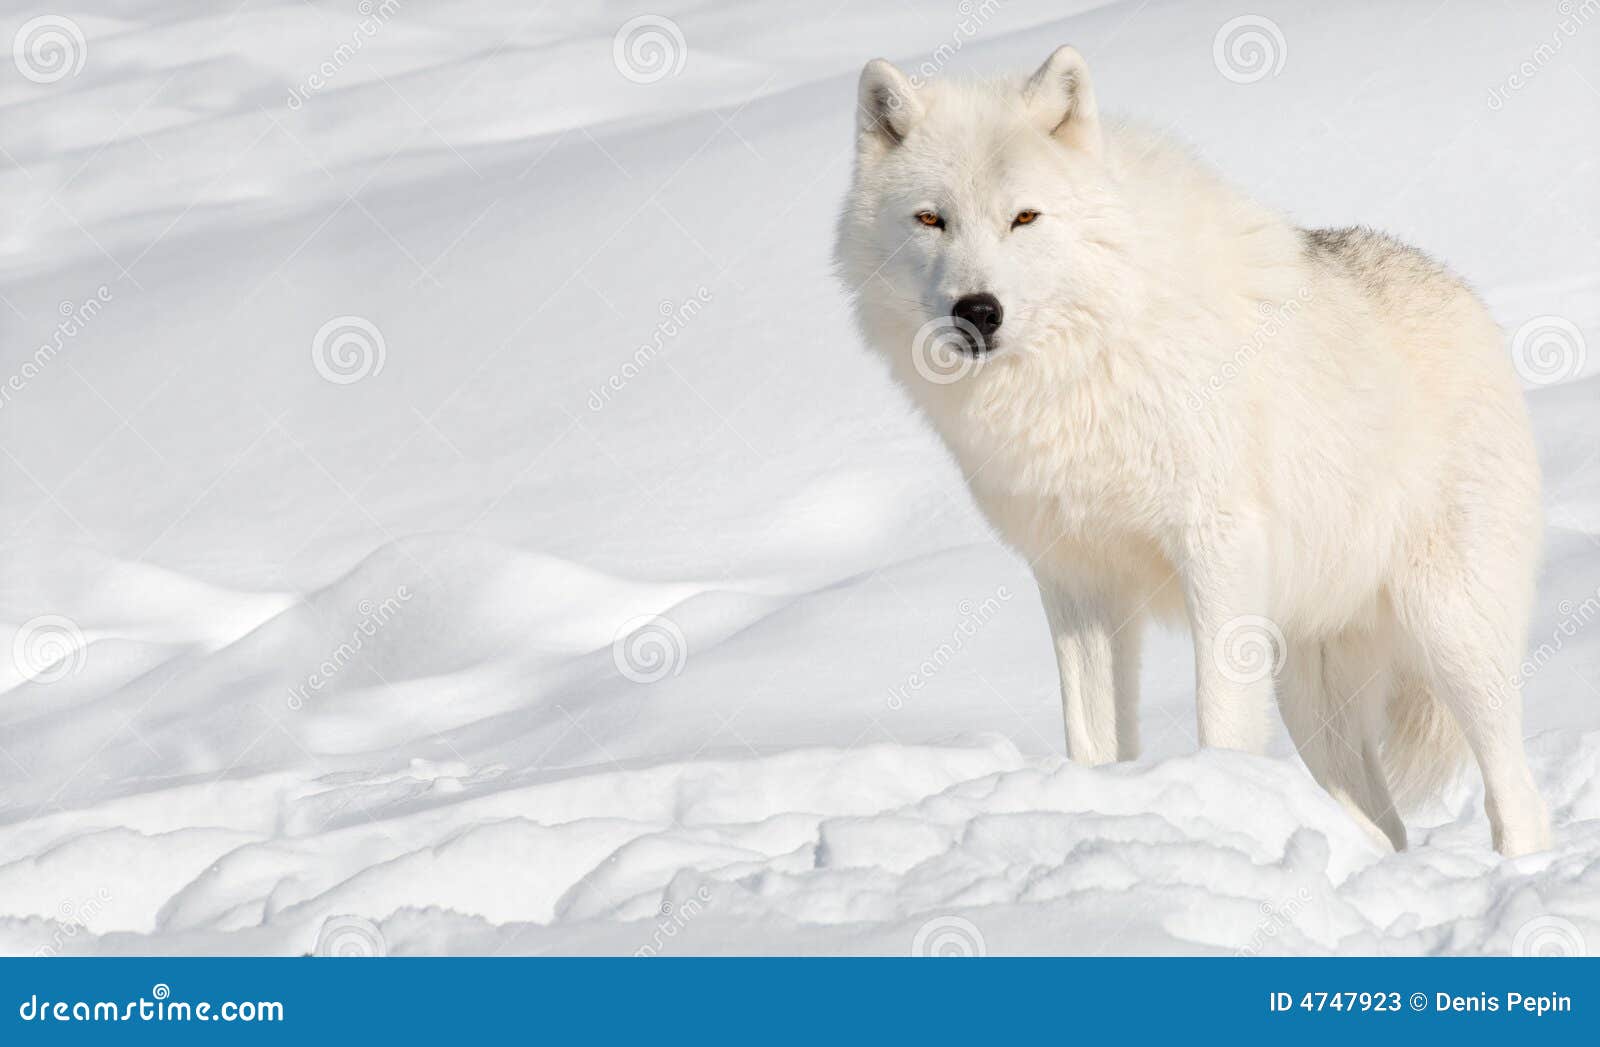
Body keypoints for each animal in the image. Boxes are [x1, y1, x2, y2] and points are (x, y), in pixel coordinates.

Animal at [834, 47, 1550, 856]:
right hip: (1314, 697)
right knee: (1384, 826)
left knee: (1517, 796)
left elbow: (1221, 721)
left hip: (1452, 635)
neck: (1087, 362)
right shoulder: (1077, 581)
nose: (977, 311)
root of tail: (1470, 302)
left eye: (1024, 217)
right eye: (931, 219)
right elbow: (1094, 740)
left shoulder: (1216, 549)